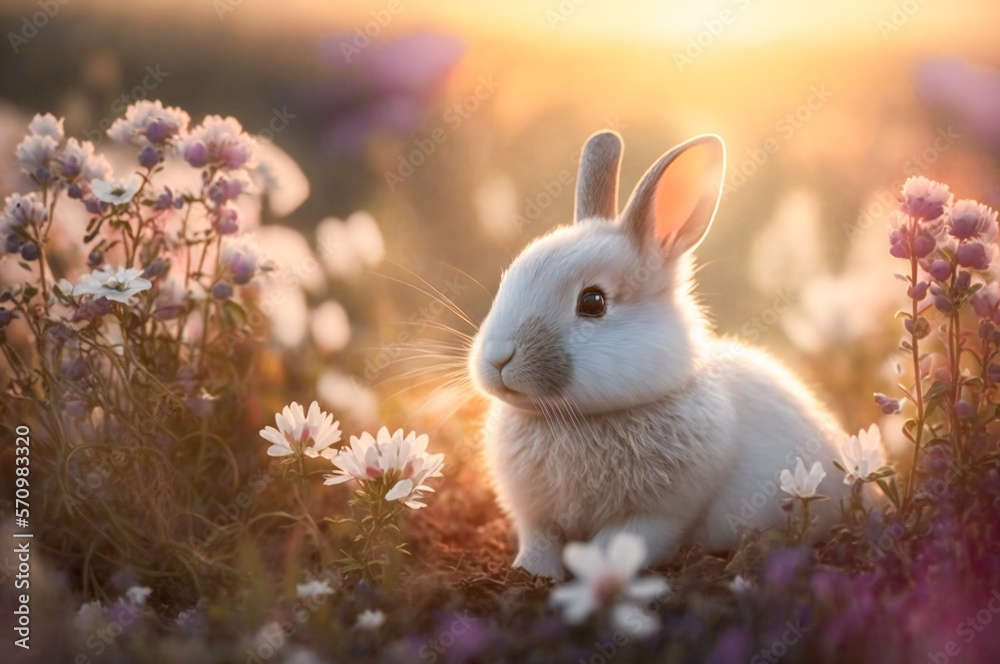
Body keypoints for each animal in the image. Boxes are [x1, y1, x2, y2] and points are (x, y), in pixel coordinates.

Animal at [468, 130, 850, 579]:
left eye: (593, 302)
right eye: (508, 279)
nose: (498, 357)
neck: (574, 419)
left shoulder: (658, 517)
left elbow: (615, 547)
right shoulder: (535, 519)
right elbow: (539, 544)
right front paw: (533, 573)